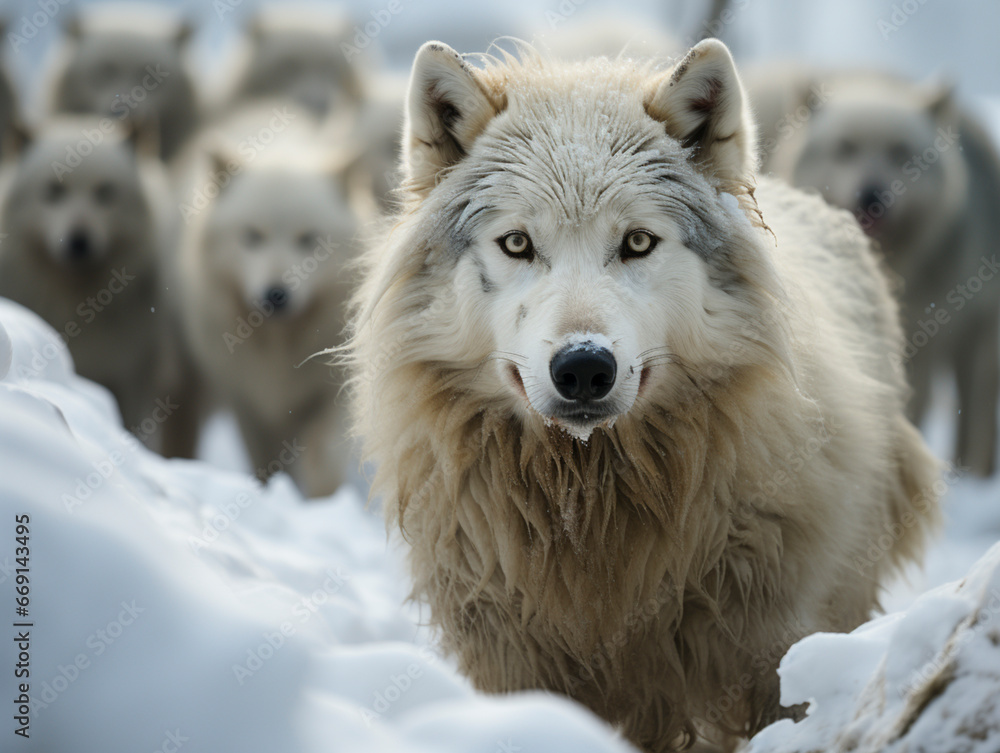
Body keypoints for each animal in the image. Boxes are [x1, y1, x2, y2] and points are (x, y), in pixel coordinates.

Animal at [176, 107, 359, 497]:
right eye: (252, 236)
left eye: (307, 239)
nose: (276, 295)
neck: (280, 350)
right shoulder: (248, 399)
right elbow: (265, 462)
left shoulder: (331, 391)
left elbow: (323, 459)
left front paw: (325, 502)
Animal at [347, 40, 941, 751]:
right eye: (517, 243)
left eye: (637, 242)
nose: (582, 369)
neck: (590, 505)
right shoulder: (513, 661)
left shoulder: (770, 650)